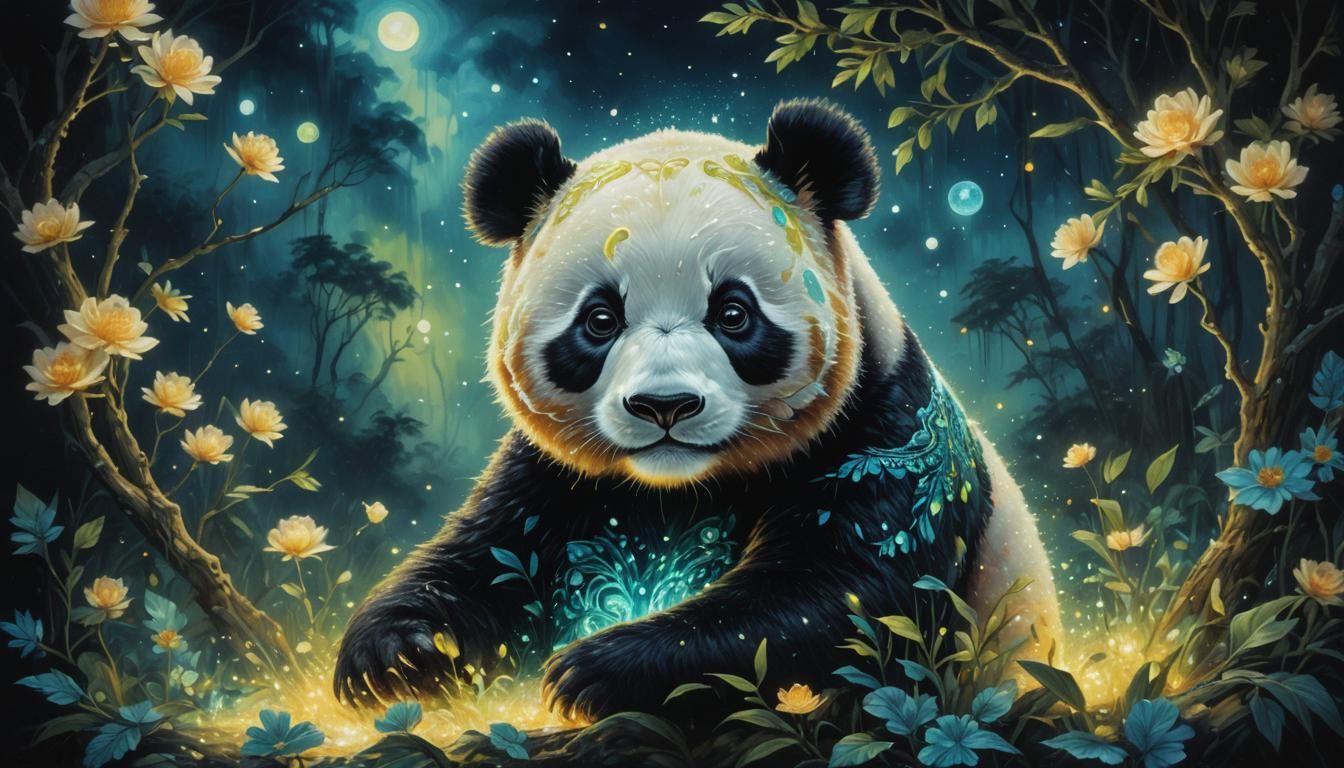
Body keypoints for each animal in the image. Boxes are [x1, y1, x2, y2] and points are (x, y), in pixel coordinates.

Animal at [334, 99, 1060, 722]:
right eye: (600, 319)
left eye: (733, 313)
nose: (665, 405)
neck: (680, 489)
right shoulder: (553, 479)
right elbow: (486, 558)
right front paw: (396, 656)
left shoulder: (888, 435)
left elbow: (836, 593)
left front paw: (591, 671)